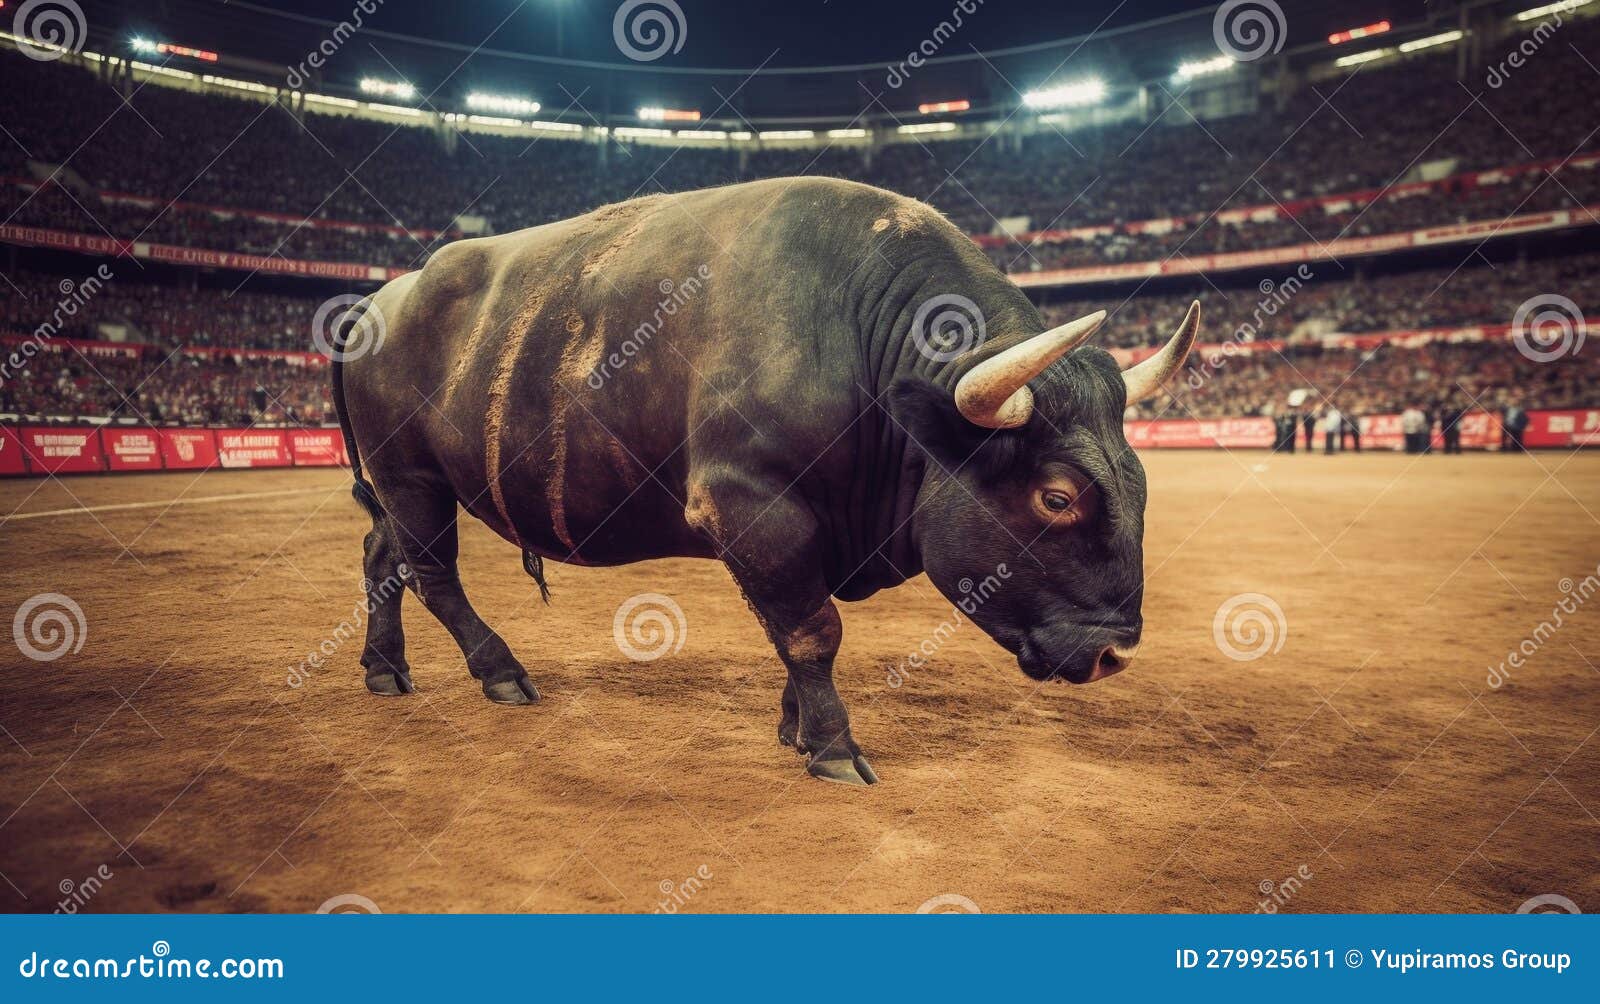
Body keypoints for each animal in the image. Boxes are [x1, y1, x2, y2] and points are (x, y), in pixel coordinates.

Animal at [332, 176, 1200, 786]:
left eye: (1141, 484)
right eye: (1057, 496)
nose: (1116, 652)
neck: (851, 333)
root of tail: (380, 299)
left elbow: (792, 629)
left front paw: (795, 727)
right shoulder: (747, 502)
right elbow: (813, 629)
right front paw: (834, 746)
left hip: (402, 490)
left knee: (383, 559)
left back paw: (383, 667)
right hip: (412, 476)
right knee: (435, 575)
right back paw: (501, 671)